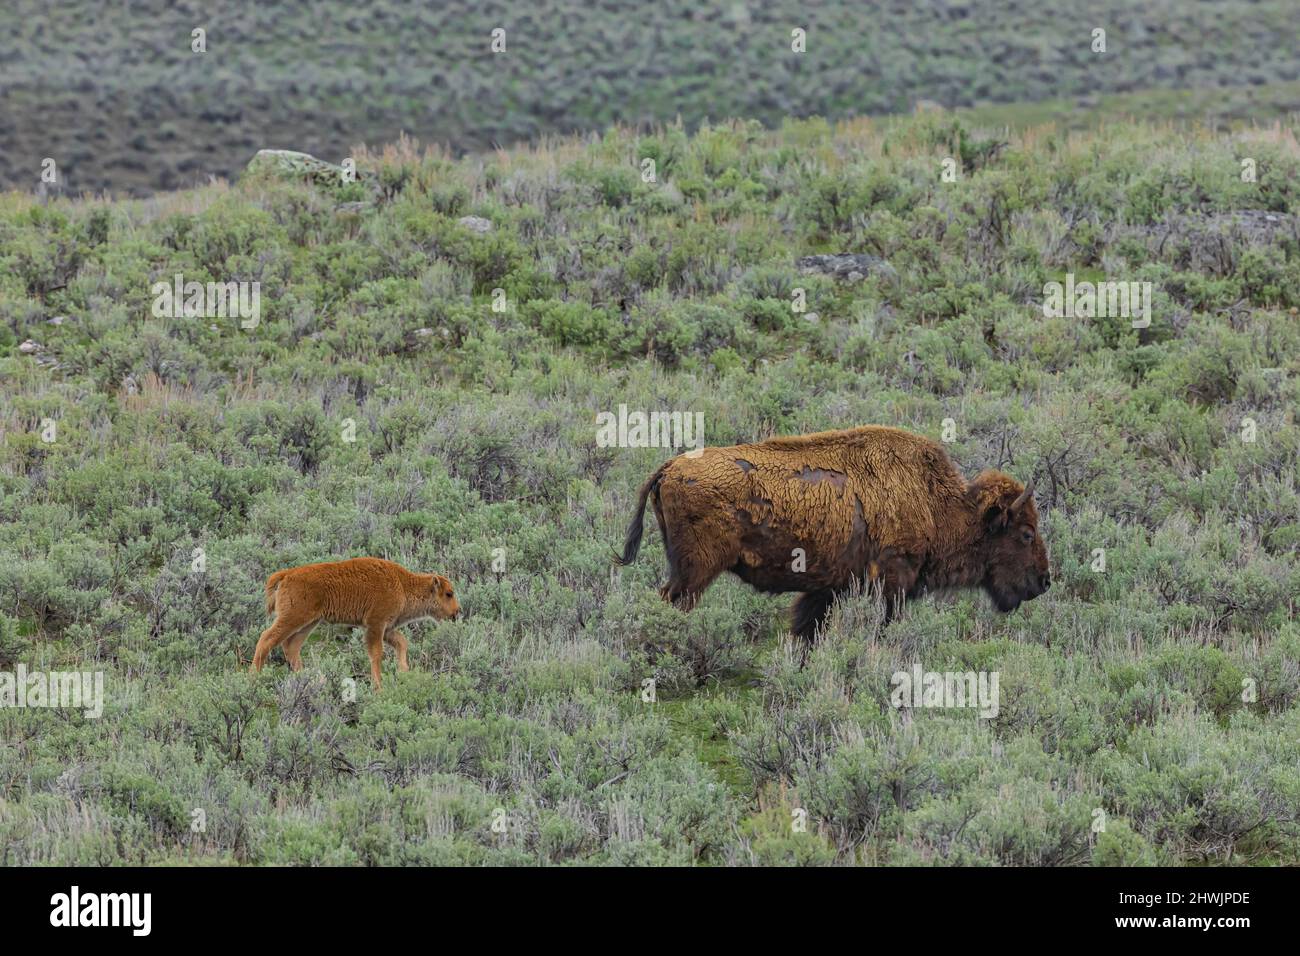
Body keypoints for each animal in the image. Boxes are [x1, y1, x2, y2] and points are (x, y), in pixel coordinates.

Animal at [616, 425, 1050, 639]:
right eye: (1026, 533)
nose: (1044, 581)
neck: (934, 502)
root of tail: (670, 467)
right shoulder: (893, 581)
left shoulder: (824, 590)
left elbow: (807, 631)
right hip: (695, 571)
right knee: (673, 602)